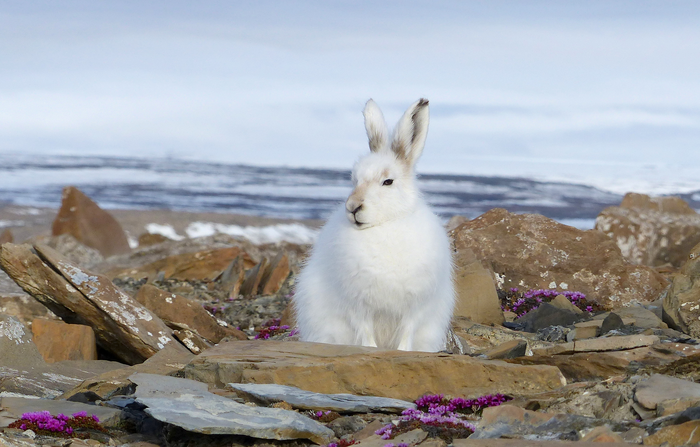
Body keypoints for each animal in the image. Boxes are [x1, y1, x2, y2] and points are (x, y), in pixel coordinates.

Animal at [293, 98, 455, 352]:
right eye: (354, 180)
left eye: (388, 181)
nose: (352, 207)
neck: (385, 224)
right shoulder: (356, 304)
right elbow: (366, 334)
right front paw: (370, 350)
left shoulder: (415, 306)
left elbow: (406, 334)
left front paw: (403, 352)